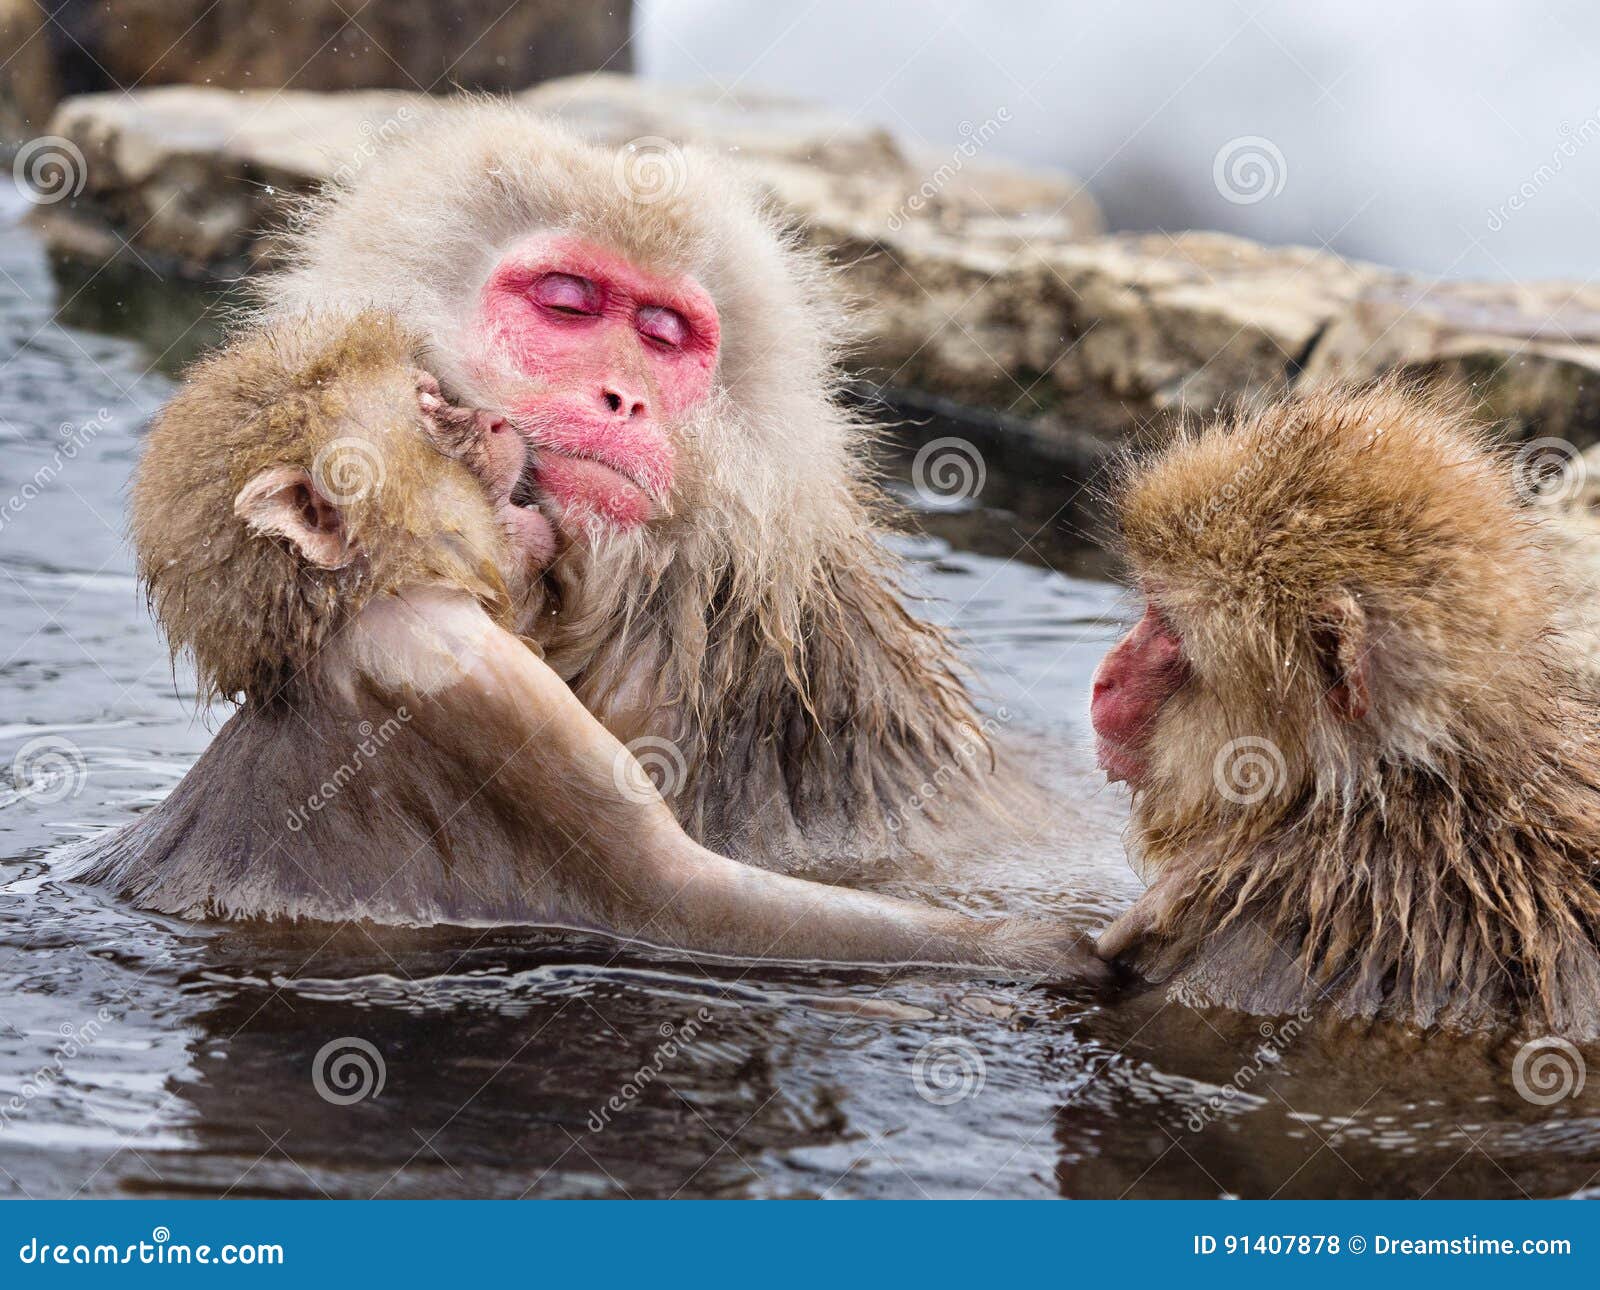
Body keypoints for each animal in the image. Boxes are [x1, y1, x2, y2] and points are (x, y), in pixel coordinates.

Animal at [79, 309, 1105, 978]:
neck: (364, 603)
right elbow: (675, 900)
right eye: (432, 412)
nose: (496, 420)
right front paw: (1054, 951)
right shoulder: (455, 674)